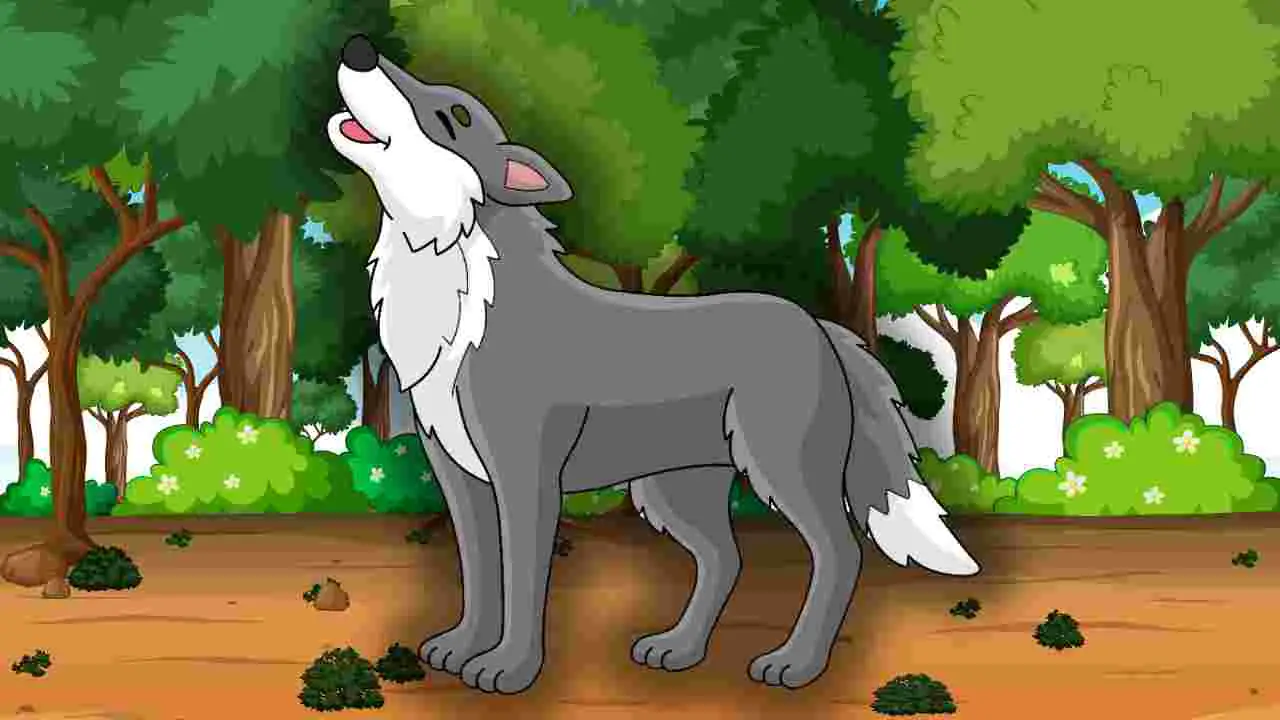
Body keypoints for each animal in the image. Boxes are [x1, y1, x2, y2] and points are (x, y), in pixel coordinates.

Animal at [326, 34, 980, 695]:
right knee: (725, 559)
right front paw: (458, 651)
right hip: (673, 488)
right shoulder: (458, 473)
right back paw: (678, 650)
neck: (457, 304)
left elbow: (523, 580)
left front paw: (508, 670)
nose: (357, 49)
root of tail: (821, 327)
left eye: (451, 116)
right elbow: (480, 573)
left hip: (779, 472)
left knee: (839, 555)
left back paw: (793, 665)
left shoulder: (524, 474)